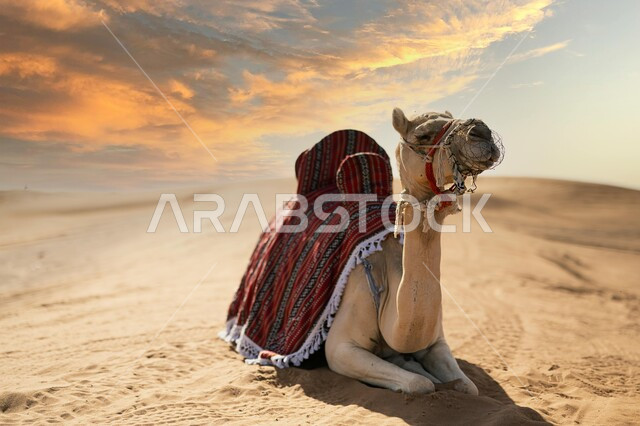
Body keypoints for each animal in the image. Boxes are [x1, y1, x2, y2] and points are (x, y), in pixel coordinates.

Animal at [324, 107, 503, 394]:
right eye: (423, 134)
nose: (481, 133)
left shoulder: (437, 341)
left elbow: (468, 387)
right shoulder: (339, 348)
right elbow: (420, 385)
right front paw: (422, 376)